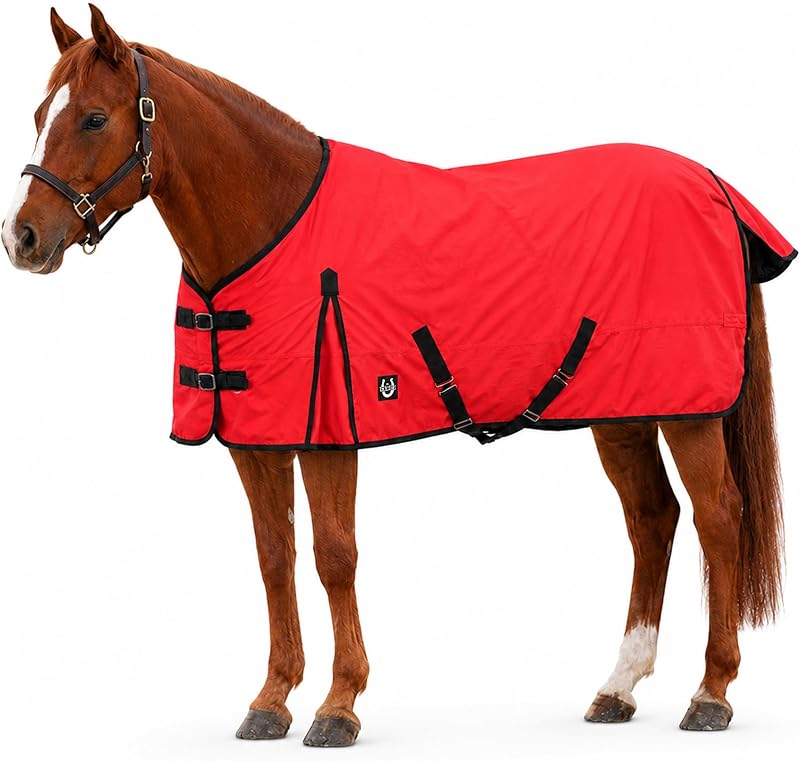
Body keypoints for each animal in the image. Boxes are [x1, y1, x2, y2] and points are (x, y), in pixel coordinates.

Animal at [1, 5, 792, 746]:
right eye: (40, 116)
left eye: (95, 118)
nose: (22, 239)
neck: (271, 222)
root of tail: (714, 185)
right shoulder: (256, 438)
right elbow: (274, 557)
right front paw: (270, 700)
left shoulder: (328, 433)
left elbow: (334, 556)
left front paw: (338, 705)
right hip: (621, 410)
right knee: (652, 518)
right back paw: (619, 687)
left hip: (689, 411)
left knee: (719, 517)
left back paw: (711, 693)